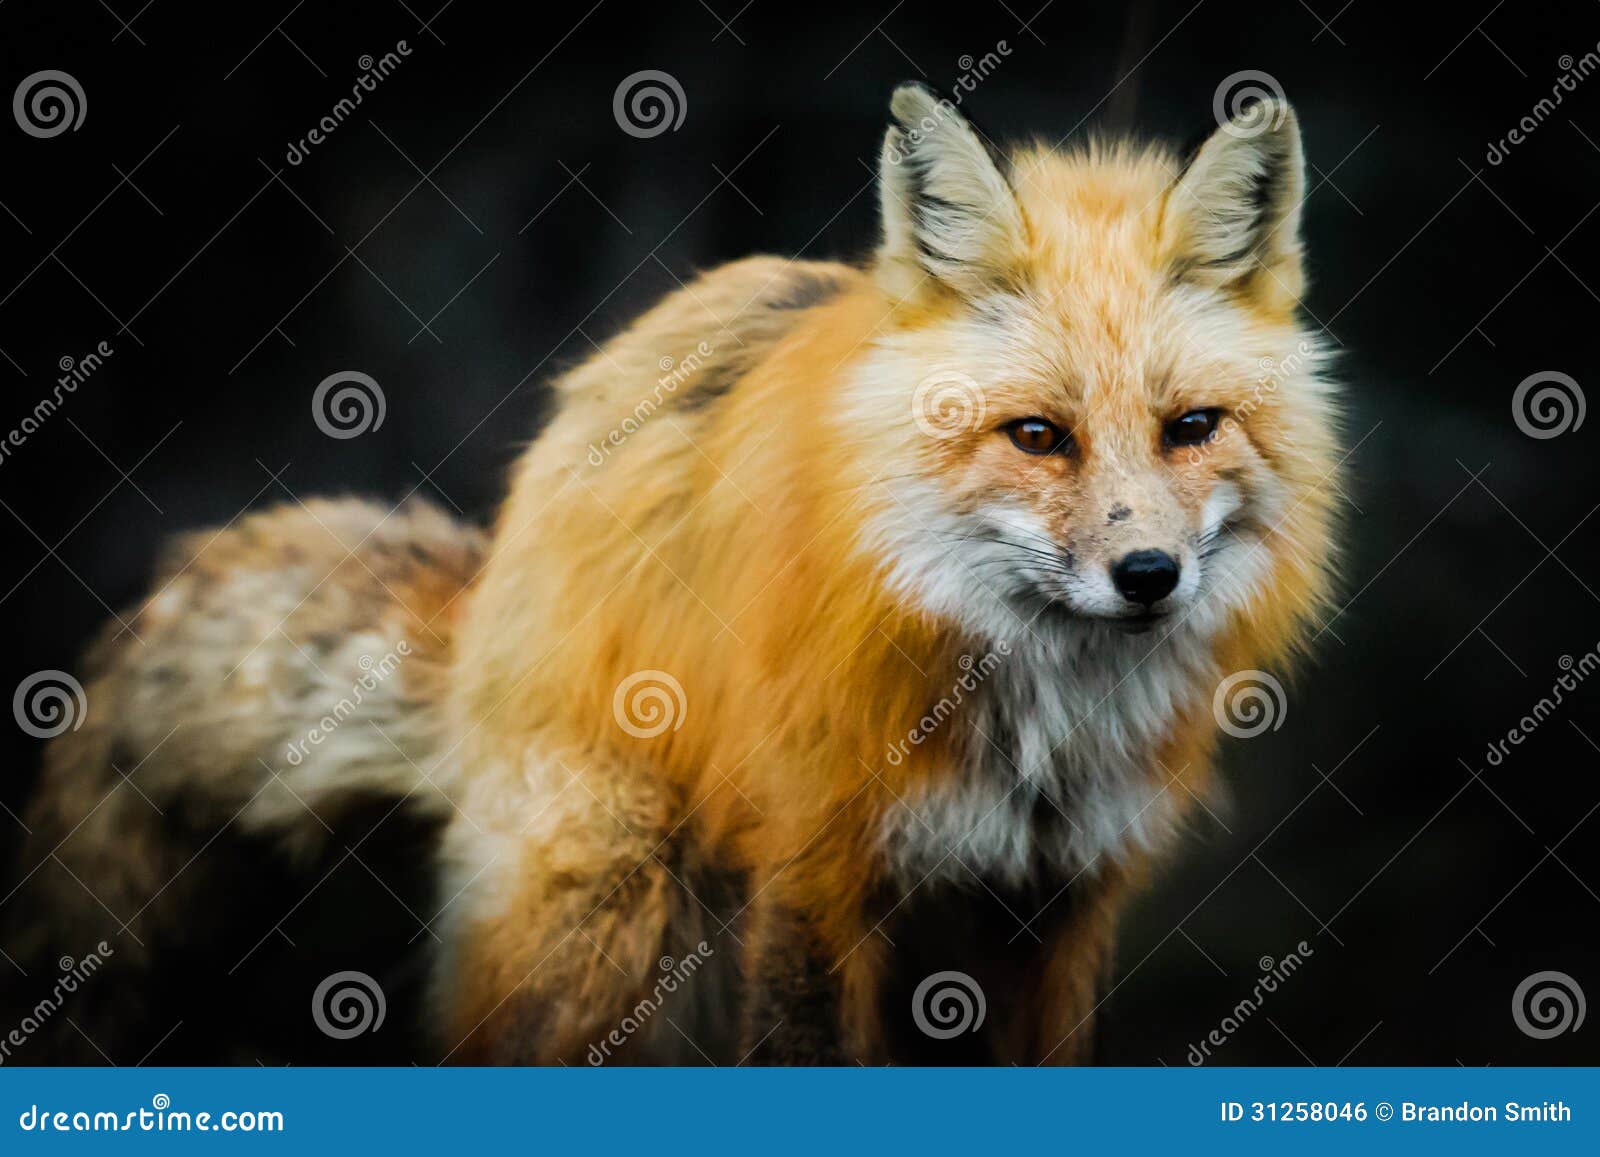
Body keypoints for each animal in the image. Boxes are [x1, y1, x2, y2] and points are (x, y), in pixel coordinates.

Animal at [6, 83, 1338, 1065]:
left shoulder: (1053, 909)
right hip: (614, 917)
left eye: (1190, 427)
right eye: (1036, 436)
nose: (1148, 573)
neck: (1038, 730)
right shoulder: (814, 867)